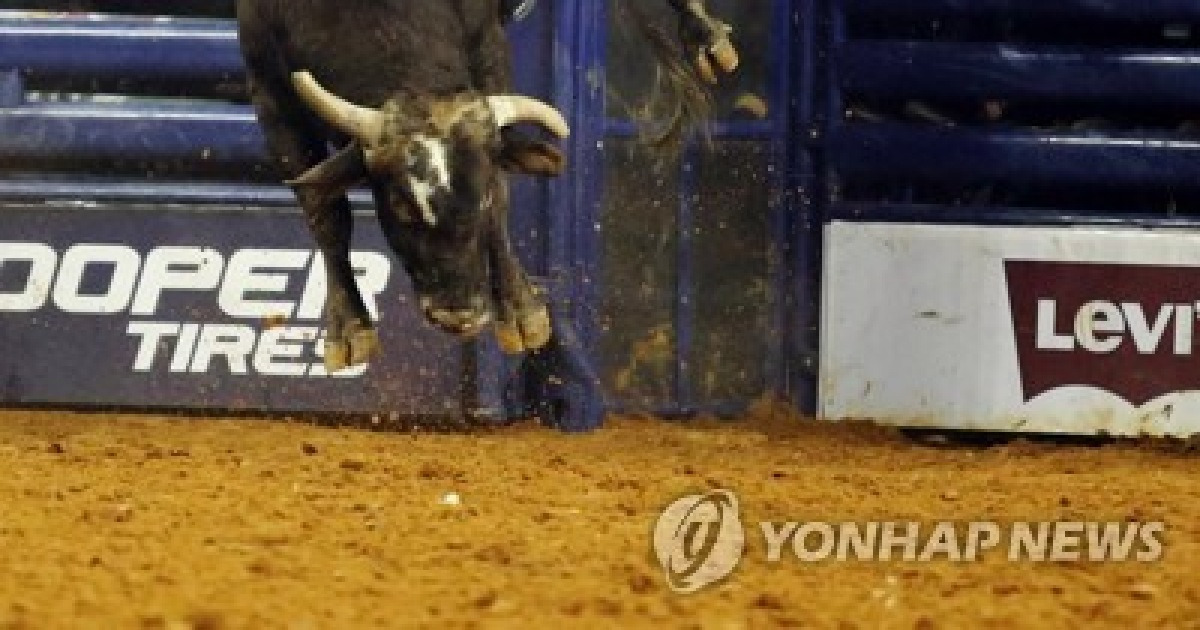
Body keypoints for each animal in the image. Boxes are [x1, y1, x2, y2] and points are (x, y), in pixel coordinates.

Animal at [236, 0, 737, 374]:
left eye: (480, 200)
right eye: (400, 206)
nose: (457, 315)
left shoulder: (488, 49)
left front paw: (520, 310)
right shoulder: (269, 90)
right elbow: (326, 215)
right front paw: (348, 329)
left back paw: (706, 35)